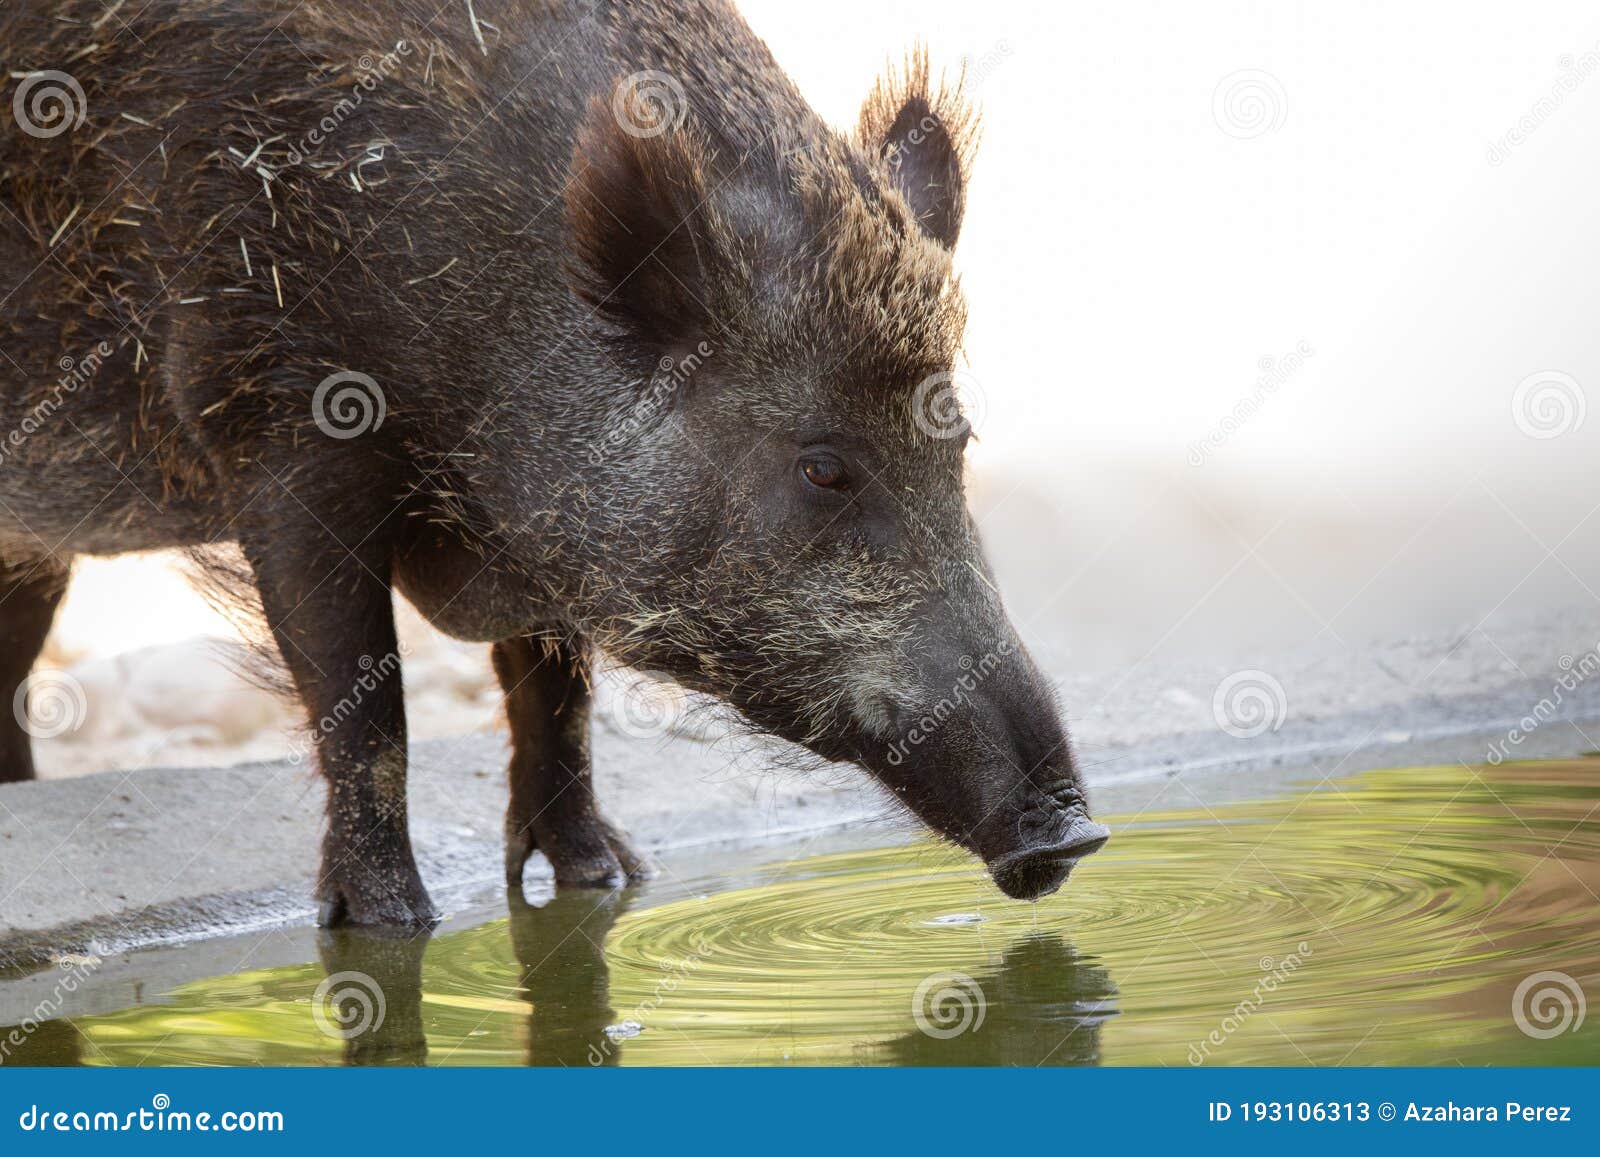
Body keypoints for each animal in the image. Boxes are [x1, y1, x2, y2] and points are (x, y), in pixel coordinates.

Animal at [0, 0, 1109, 925]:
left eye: (957, 441)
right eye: (825, 467)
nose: (1074, 830)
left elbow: (555, 690)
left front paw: (604, 876)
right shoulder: (275, 435)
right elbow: (364, 700)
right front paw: (390, 921)